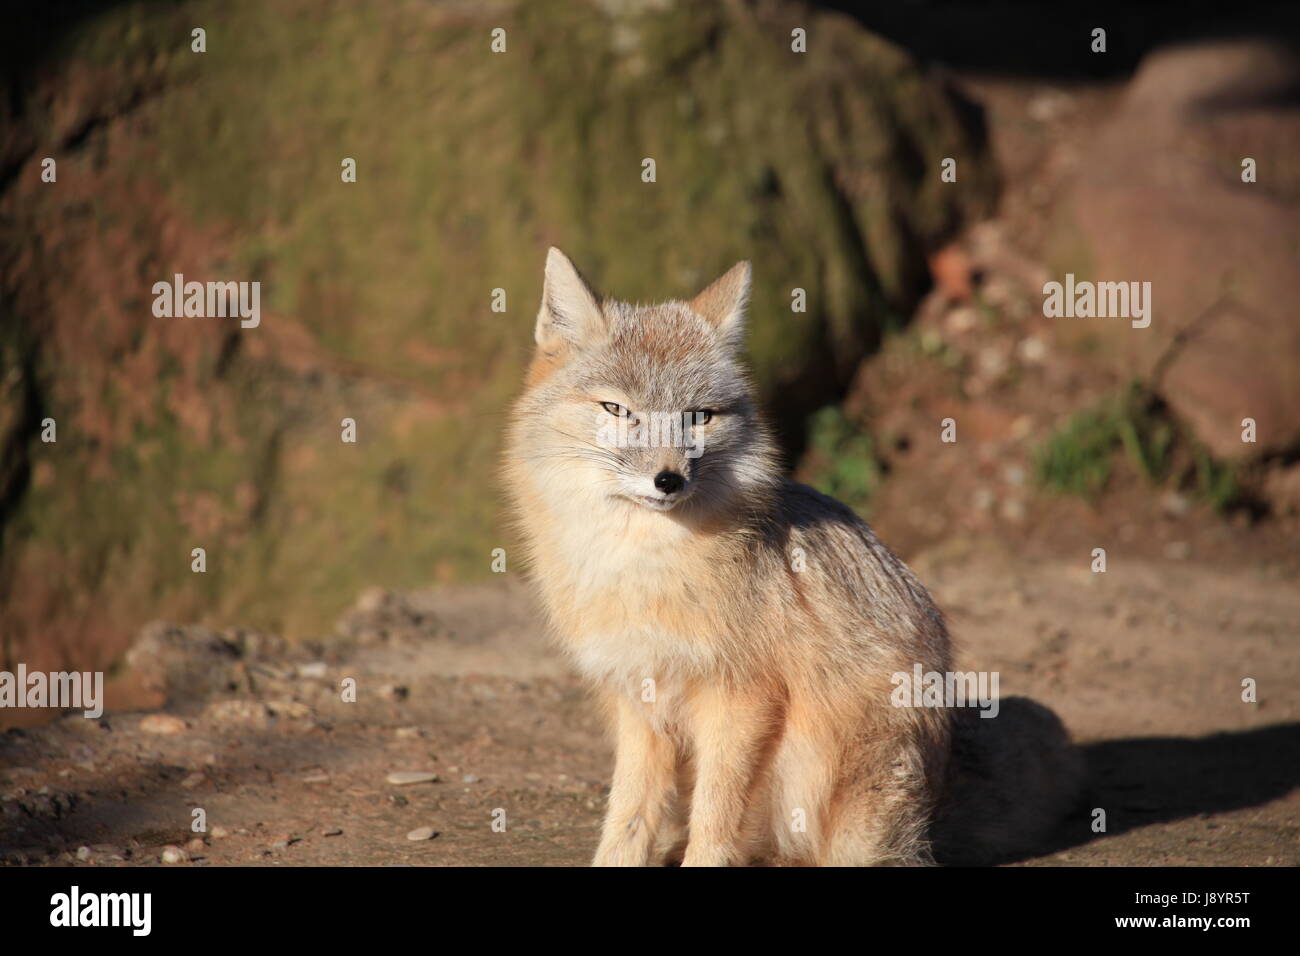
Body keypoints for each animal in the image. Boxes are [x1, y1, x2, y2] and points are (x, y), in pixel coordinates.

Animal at [505, 247, 1082, 866]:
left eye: (698, 417)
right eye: (617, 409)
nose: (669, 480)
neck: (642, 567)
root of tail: (943, 784)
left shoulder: (741, 698)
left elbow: (714, 817)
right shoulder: (639, 703)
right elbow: (628, 819)